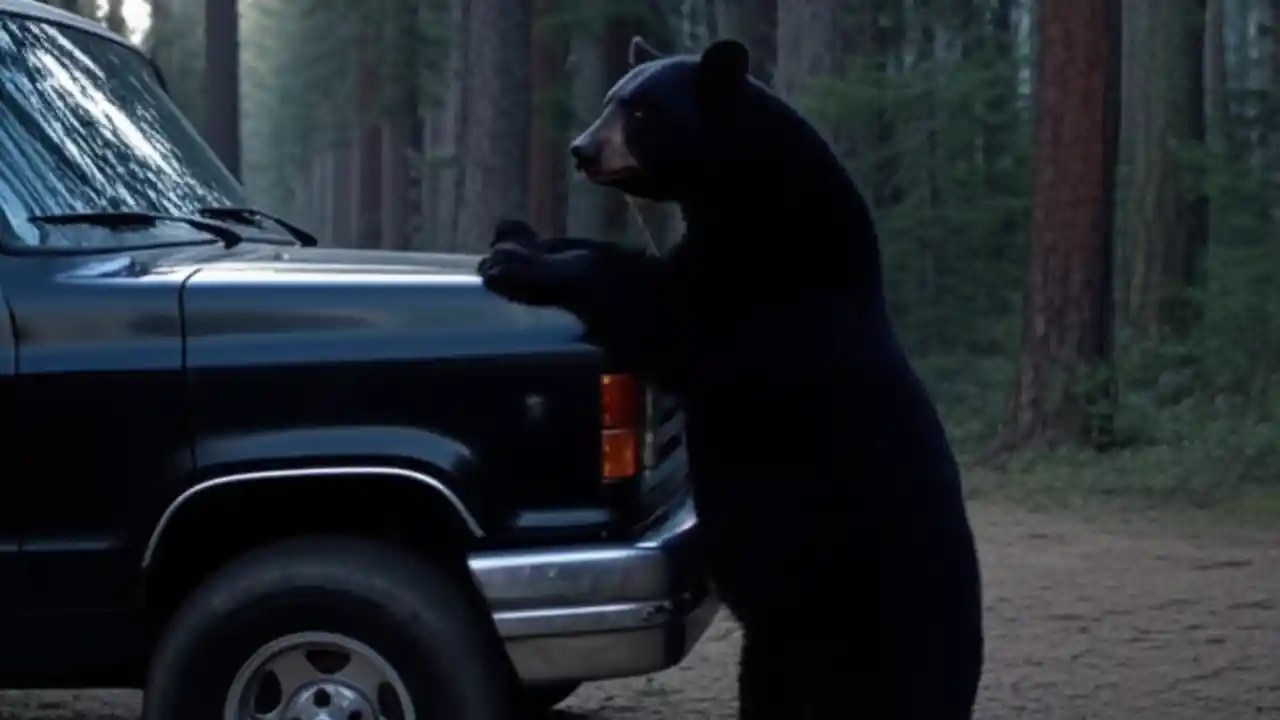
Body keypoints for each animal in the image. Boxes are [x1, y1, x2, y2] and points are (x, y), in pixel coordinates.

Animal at [479, 37, 984, 720]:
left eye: (640, 111)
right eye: (612, 98)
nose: (582, 149)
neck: (754, 195)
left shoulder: (759, 295)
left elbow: (655, 302)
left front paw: (514, 261)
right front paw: (517, 231)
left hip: (873, 626)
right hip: (781, 645)